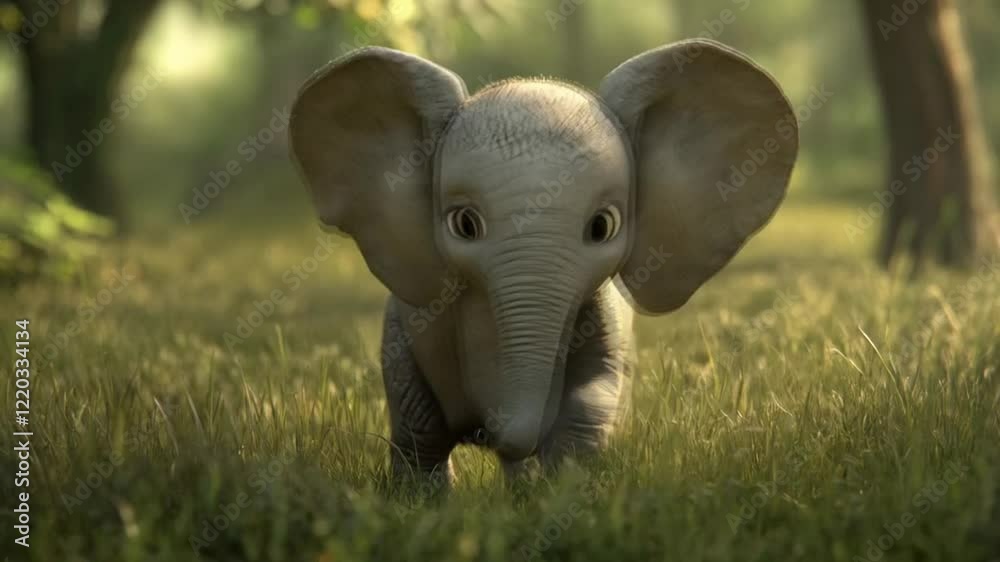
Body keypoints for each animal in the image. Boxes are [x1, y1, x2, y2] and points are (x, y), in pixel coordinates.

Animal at [288, 40, 798, 486]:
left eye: (602, 227)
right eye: (464, 224)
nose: (489, 430)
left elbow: (591, 402)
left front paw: (557, 498)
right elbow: (420, 422)